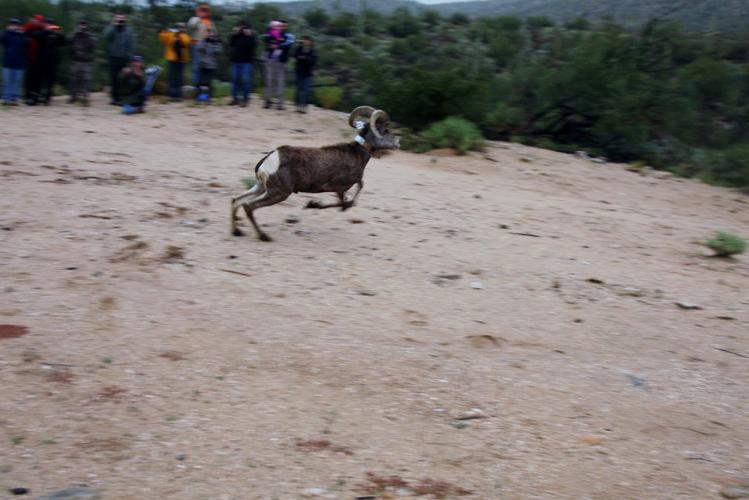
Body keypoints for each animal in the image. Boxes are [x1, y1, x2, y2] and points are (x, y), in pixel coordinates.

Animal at [230, 106, 400, 241]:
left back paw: (236, 232)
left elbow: (352, 196)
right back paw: (264, 236)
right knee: (249, 206)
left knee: (236, 200)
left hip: (261, 188)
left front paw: (313, 204)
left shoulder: (345, 186)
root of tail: (269, 159)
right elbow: (345, 203)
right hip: (279, 193)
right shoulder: (338, 187)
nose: (397, 144)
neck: (356, 154)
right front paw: (312, 205)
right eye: (385, 130)